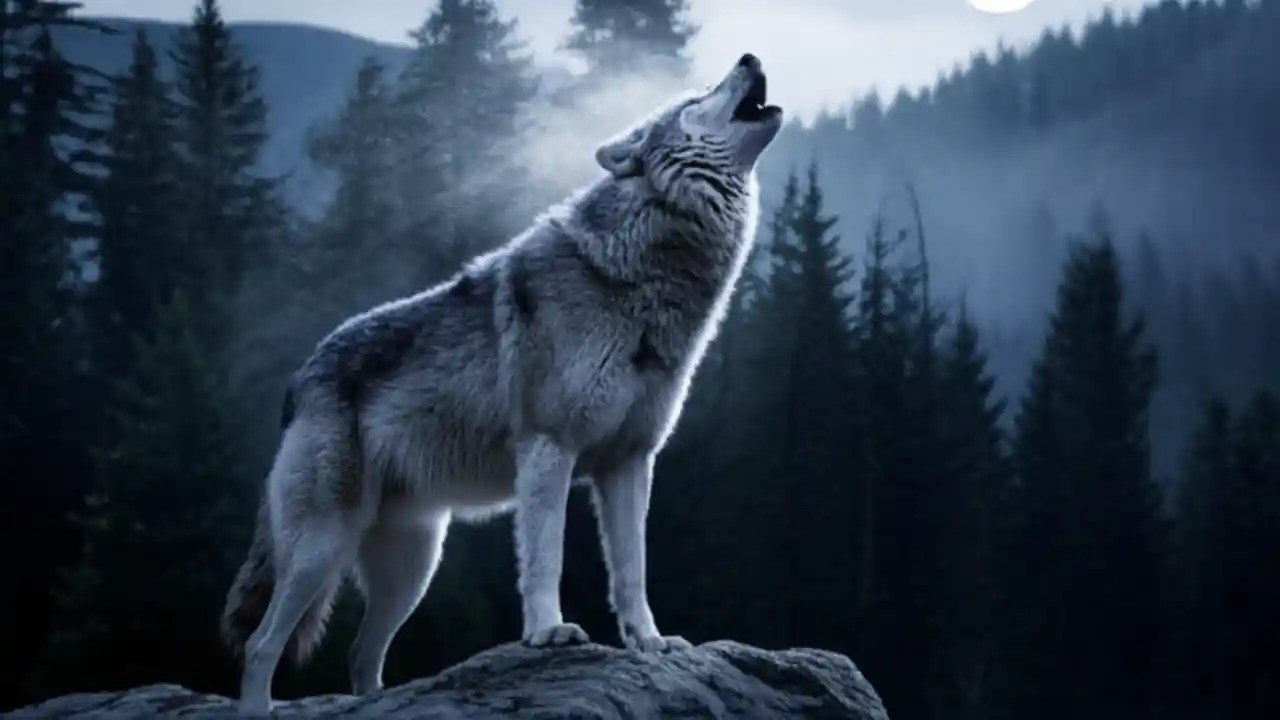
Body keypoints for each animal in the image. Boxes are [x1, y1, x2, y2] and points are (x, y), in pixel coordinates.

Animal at [220, 53, 783, 714]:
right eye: (699, 95)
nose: (749, 56)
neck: (639, 271)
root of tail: (301, 377)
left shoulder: (629, 461)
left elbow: (631, 569)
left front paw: (649, 640)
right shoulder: (549, 447)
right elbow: (545, 557)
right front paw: (548, 632)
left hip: (413, 567)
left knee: (362, 655)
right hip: (322, 549)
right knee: (261, 645)